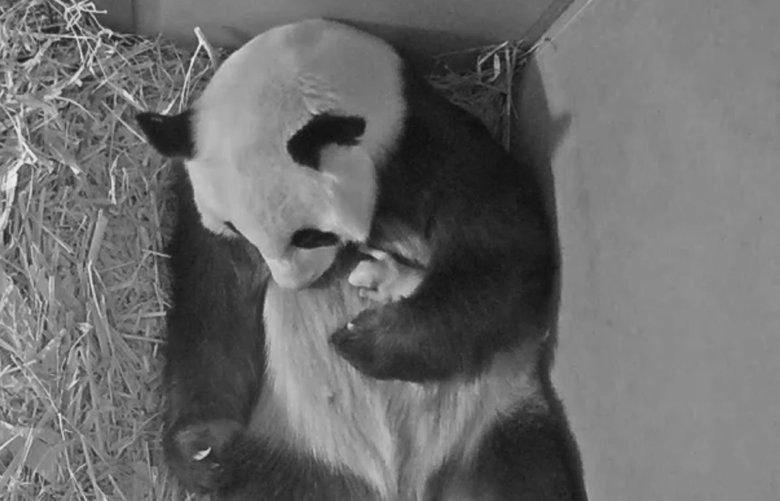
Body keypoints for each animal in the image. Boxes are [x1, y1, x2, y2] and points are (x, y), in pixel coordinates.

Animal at [137, 19, 586, 501]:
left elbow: (503, 251)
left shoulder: (431, 148)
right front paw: (202, 449)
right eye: (239, 232)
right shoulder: (201, 207)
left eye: (309, 236)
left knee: (526, 472)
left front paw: (363, 340)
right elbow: (213, 304)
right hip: (295, 452)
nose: (295, 284)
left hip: (496, 422)